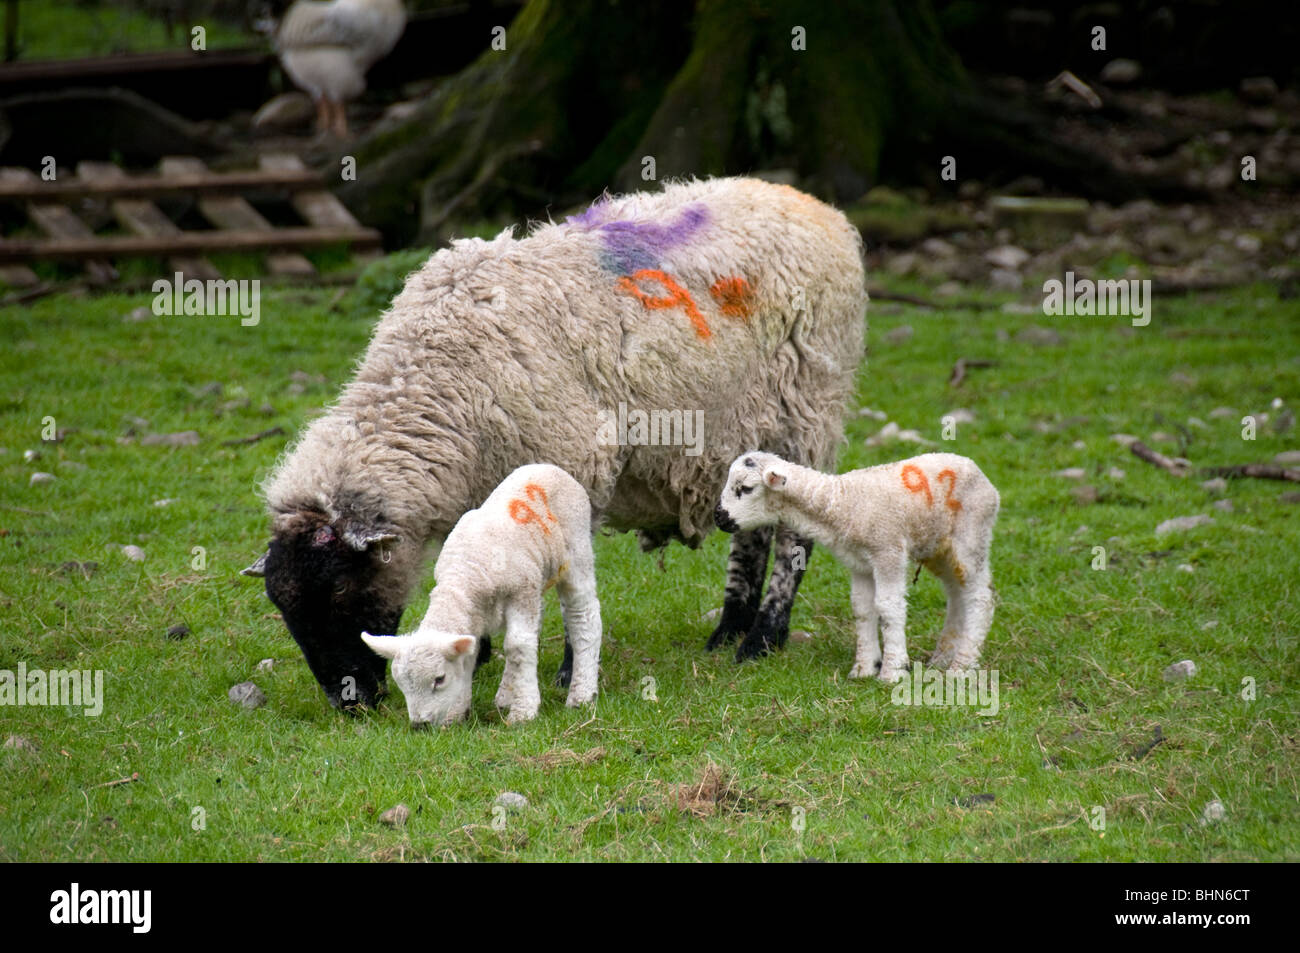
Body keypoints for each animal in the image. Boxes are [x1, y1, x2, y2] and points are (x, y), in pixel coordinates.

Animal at [360, 464, 600, 725]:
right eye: (402, 685)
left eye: (439, 679)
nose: (420, 725)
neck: (466, 573)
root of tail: (548, 467)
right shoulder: (475, 612)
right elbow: (471, 654)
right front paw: (456, 715)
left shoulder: (522, 591)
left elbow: (518, 645)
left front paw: (524, 711)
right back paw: (506, 695)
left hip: (576, 555)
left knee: (583, 617)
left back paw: (582, 693)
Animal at [714, 451, 999, 682]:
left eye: (746, 488)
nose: (719, 517)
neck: (843, 501)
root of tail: (984, 478)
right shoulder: (859, 563)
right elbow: (862, 609)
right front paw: (864, 668)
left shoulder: (888, 550)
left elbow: (888, 607)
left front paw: (893, 671)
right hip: (940, 548)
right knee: (957, 595)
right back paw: (942, 658)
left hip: (971, 535)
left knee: (980, 597)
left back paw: (962, 665)